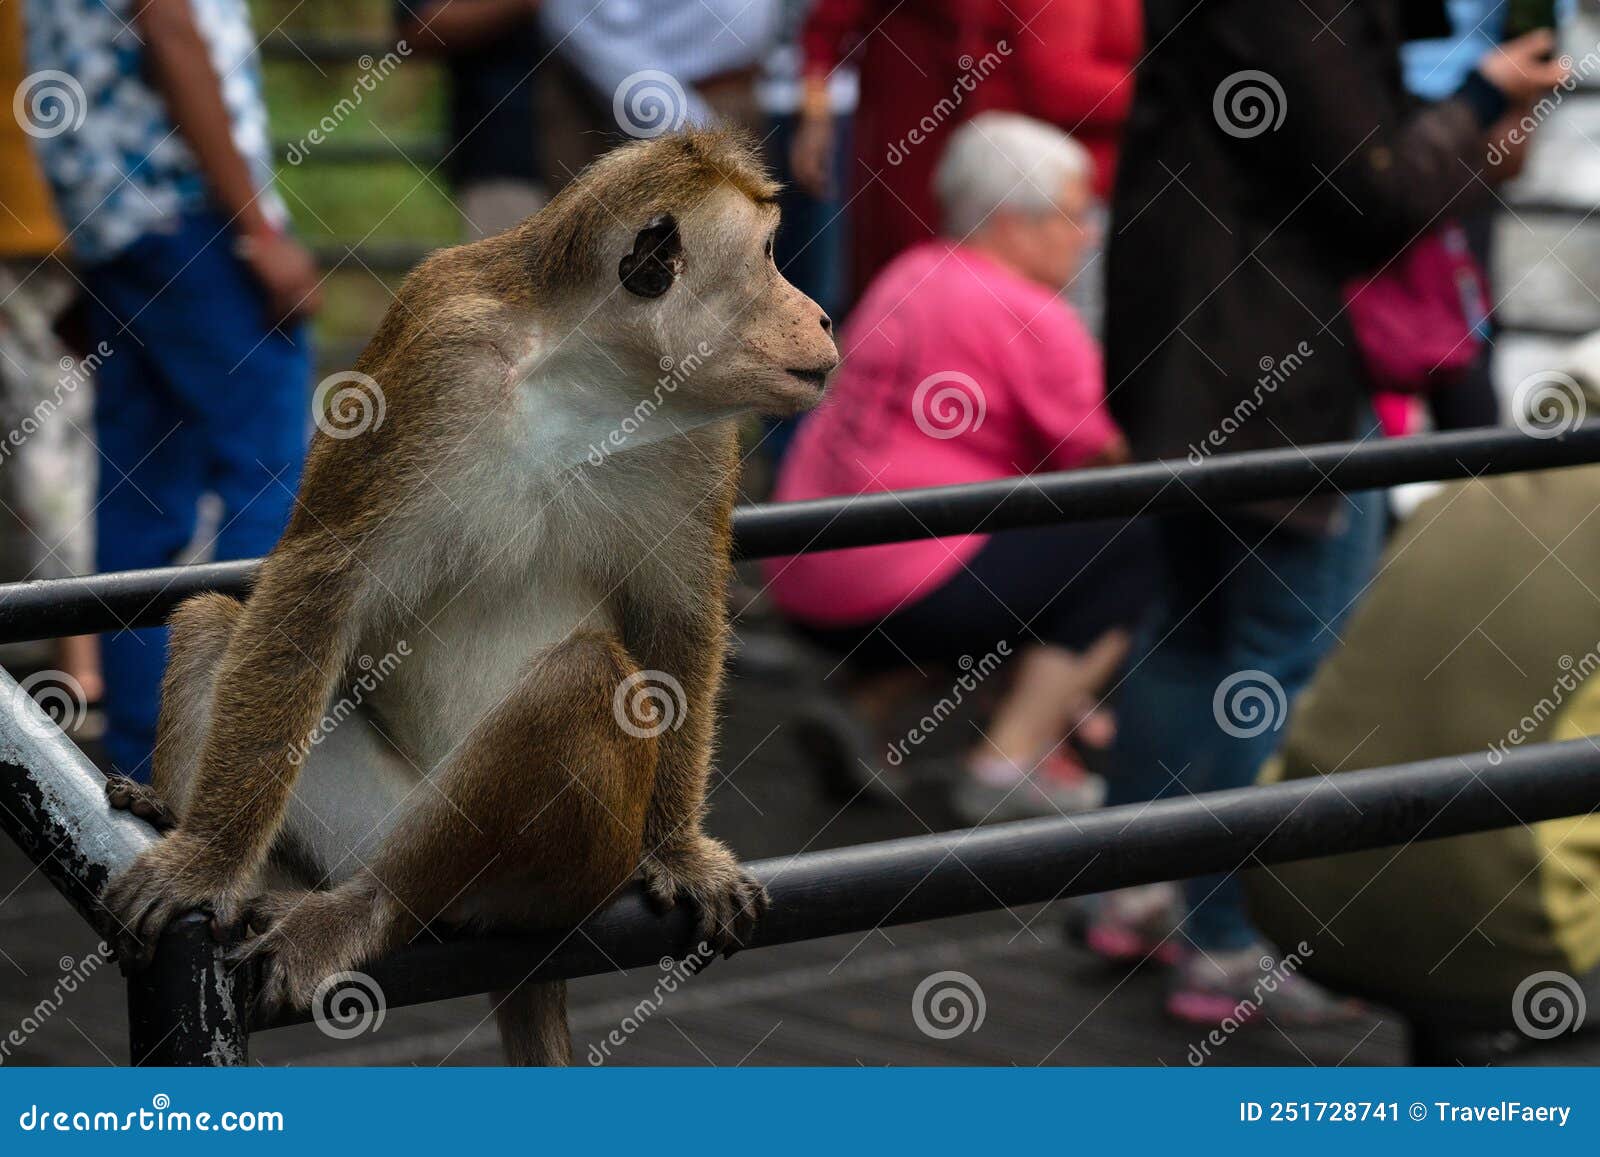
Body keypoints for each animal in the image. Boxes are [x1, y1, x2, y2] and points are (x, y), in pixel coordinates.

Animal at [100, 126, 838, 1065]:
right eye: (772, 254)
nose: (821, 315)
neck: (589, 384)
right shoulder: (437, 361)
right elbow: (319, 583)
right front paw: (204, 861)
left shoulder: (697, 436)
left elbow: (676, 623)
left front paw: (677, 850)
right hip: (371, 820)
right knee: (214, 624)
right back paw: (236, 864)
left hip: (556, 882)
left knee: (580, 685)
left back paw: (369, 909)